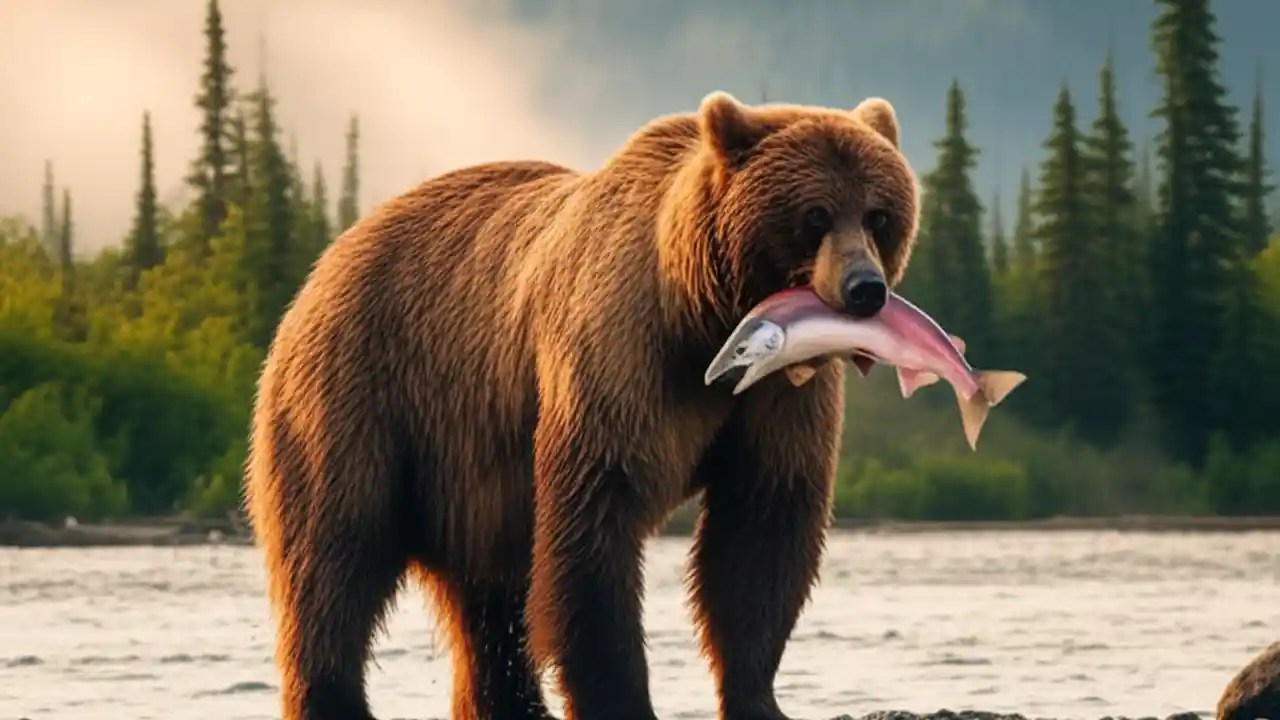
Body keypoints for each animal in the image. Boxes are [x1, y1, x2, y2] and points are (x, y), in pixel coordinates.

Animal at [243, 90, 919, 720]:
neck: (702, 319)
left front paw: (757, 695)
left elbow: (762, 526)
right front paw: (620, 696)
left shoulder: (777, 398)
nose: (864, 288)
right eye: (815, 214)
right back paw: (333, 695)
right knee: (335, 553)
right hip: (362, 394)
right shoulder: (621, 352)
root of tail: (328, 260)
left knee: (488, 593)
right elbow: (596, 523)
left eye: (880, 214)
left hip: (471, 470)